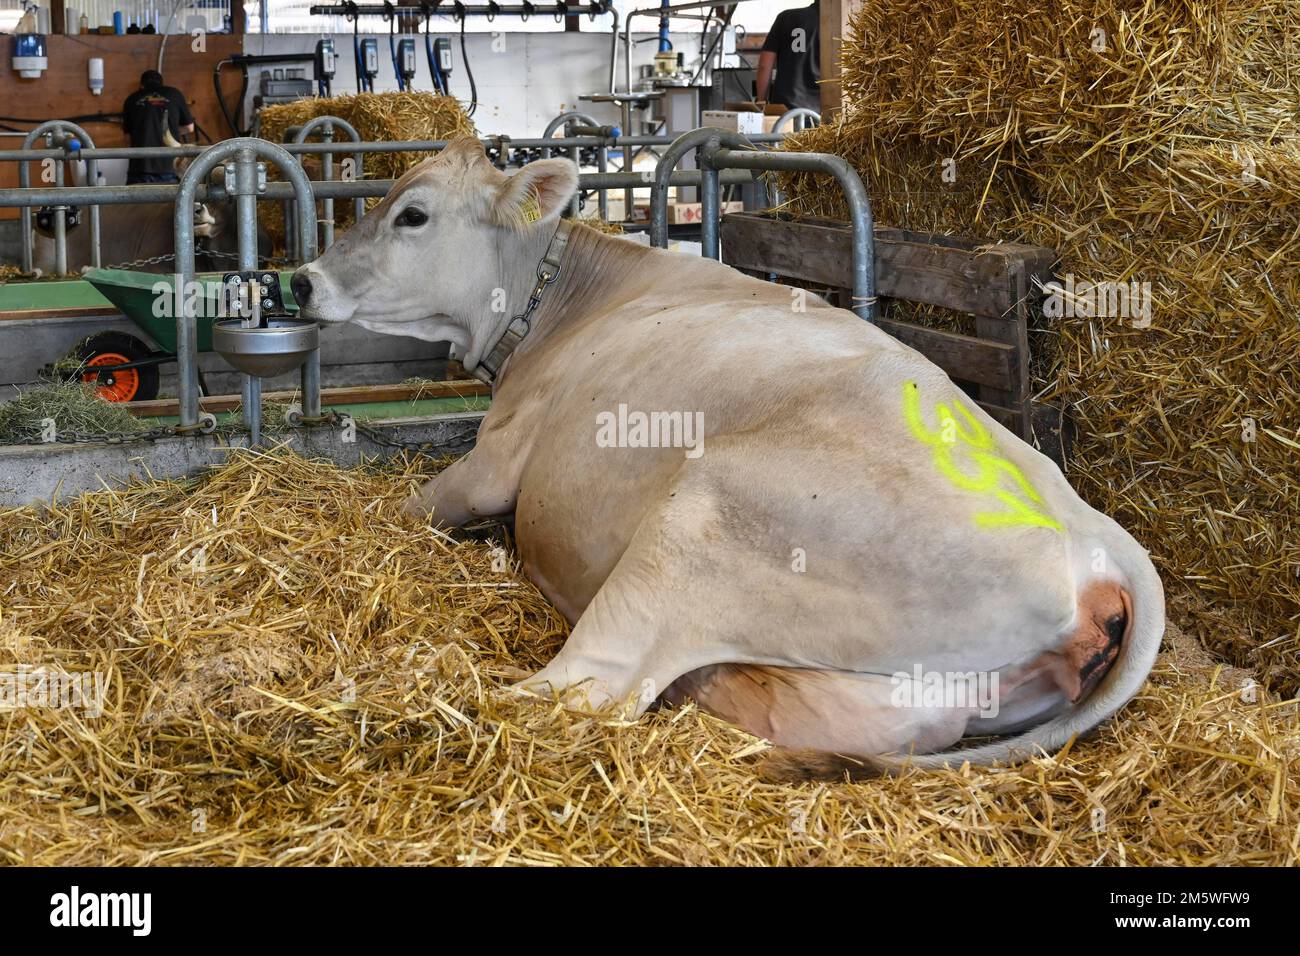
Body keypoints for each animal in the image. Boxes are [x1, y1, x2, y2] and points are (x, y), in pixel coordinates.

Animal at [290, 136, 1165, 777]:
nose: (300, 281)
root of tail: (1099, 541)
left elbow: (406, 505)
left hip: (702, 521)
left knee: (583, 690)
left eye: (412, 215)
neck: (561, 304)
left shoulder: (496, 458)